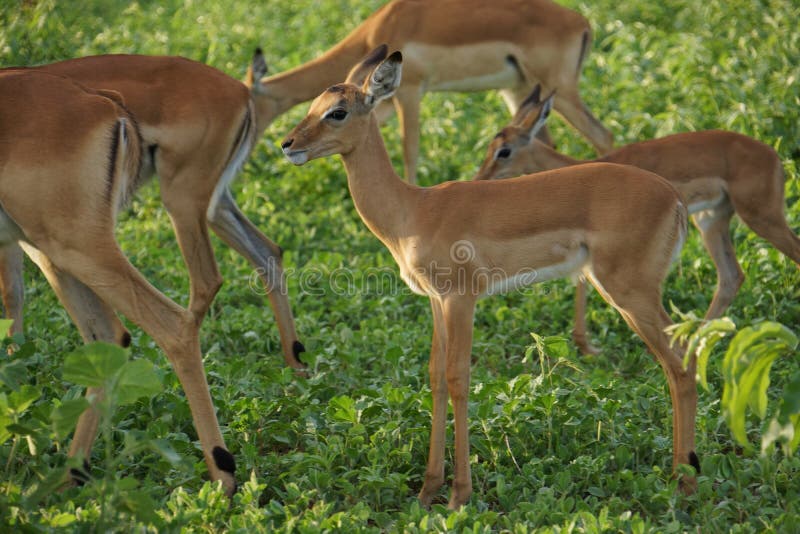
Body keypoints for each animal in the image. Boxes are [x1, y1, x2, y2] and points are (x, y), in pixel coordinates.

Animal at [0, 54, 305, 369]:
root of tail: (241, 92)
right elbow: (13, 291)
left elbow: (11, 293)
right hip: (212, 205)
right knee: (267, 251)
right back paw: (297, 364)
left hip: (170, 206)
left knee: (201, 287)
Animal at [0, 70, 235, 494]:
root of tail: (107, 105)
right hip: (51, 252)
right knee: (111, 335)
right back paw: (65, 477)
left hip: (74, 247)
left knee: (172, 323)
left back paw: (223, 477)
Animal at [245, 0, 613, 184]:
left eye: (250, 107)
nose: (285, 145)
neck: (377, 30)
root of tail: (584, 23)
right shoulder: (385, 102)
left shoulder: (410, 91)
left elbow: (410, 150)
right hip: (519, 90)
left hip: (562, 92)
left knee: (603, 137)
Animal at [281, 46, 697, 509]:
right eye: (313, 105)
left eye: (337, 111)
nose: (288, 145)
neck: (412, 210)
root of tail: (674, 199)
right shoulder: (435, 301)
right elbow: (434, 377)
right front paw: (428, 490)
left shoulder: (461, 299)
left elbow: (458, 378)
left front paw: (459, 495)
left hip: (631, 292)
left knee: (681, 363)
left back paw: (684, 483)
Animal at [474, 86, 800, 355]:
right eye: (490, 147)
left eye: (504, 151)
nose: (480, 179)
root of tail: (774, 156)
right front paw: (585, 345)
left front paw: (587, 347)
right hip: (711, 221)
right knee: (732, 276)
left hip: (762, 217)